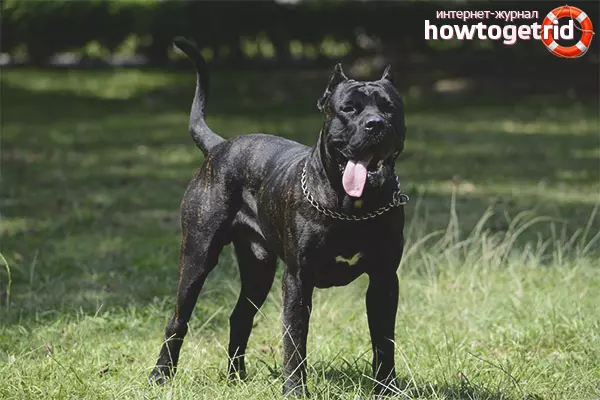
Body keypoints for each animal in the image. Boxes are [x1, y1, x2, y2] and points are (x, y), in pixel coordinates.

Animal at [149, 38, 408, 396]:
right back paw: (161, 375)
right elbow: (295, 340)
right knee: (178, 319)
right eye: (349, 109)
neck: (352, 207)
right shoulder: (298, 280)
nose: (376, 124)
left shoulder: (384, 279)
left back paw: (236, 377)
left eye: (389, 108)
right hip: (198, 257)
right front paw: (295, 390)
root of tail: (219, 146)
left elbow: (384, 340)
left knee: (240, 316)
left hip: (258, 269)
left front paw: (387, 389)